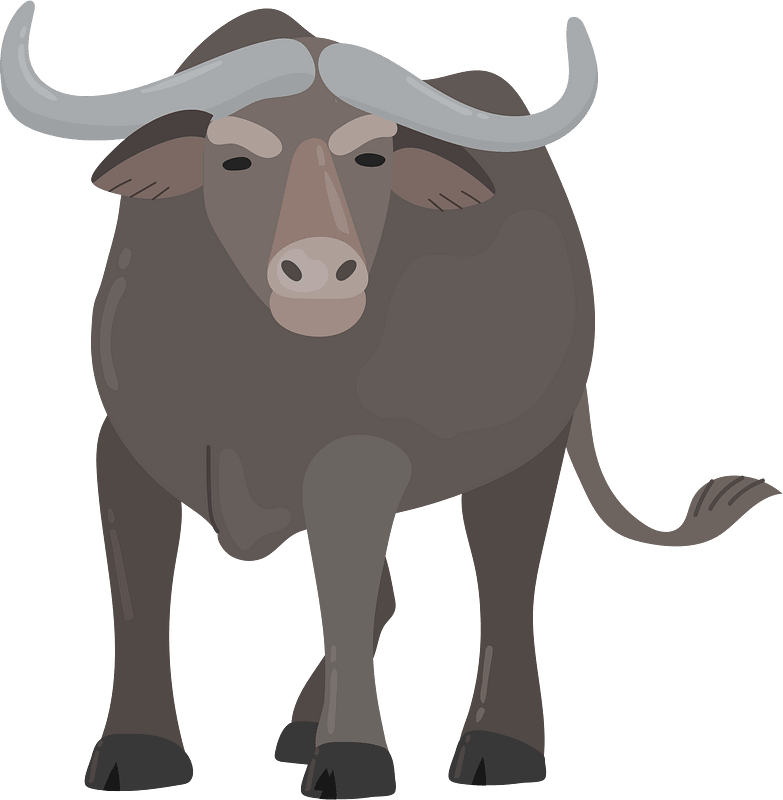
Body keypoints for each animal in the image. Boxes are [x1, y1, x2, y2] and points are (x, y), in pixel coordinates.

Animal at [1, 2, 779, 798]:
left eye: (372, 158)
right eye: (235, 159)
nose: (322, 271)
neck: (258, 366)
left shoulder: (358, 456)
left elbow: (343, 592)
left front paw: (350, 756)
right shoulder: (125, 442)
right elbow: (137, 591)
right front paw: (137, 745)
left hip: (530, 447)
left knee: (504, 577)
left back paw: (498, 743)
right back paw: (304, 723)